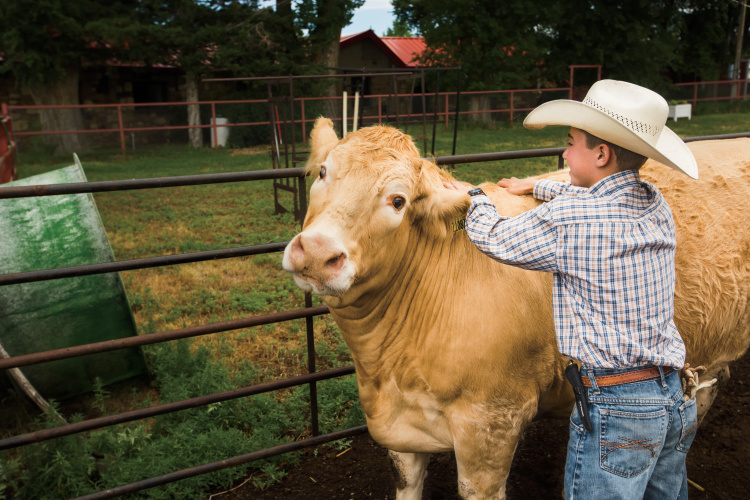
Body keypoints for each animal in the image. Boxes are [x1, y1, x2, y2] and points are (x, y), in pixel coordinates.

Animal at [282, 117, 750, 500]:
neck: (385, 364)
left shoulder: (492, 425)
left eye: (397, 201)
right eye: (323, 172)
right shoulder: (401, 432)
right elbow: (407, 483)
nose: (317, 253)